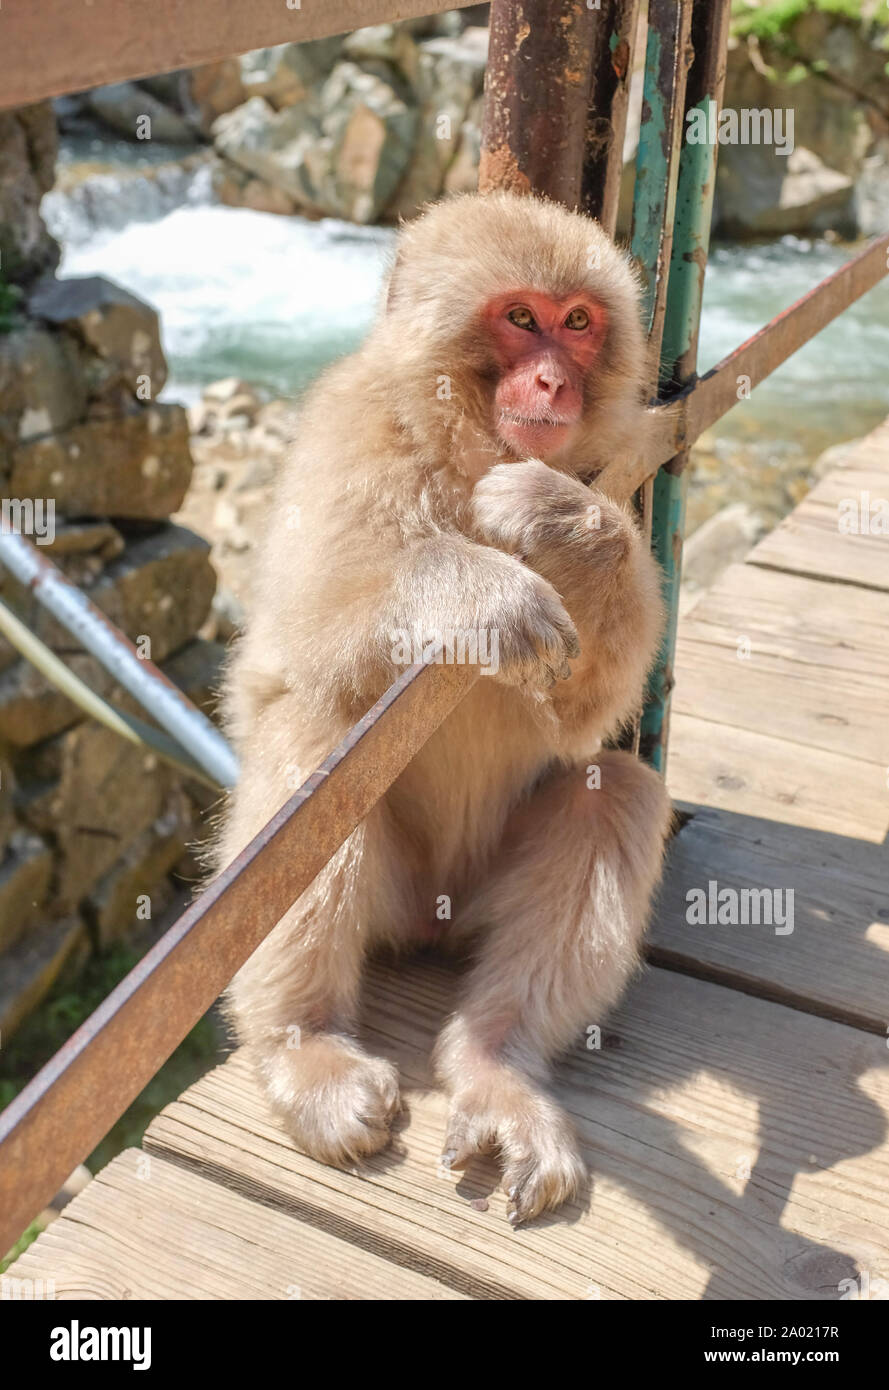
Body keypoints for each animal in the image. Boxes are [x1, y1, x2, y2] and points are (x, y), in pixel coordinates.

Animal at [215, 191, 673, 1226]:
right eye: (519, 318)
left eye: (577, 322)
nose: (551, 379)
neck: (468, 449)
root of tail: (430, 920)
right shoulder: (349, 432)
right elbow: (303, 634)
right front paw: (475, 591)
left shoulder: (611, 461)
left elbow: (583, 714)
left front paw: (564, 524)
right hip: (392, 892)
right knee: (315, 742)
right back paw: (304, 1045)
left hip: (474, 900)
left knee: (610, 791)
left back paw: (495, 1064)